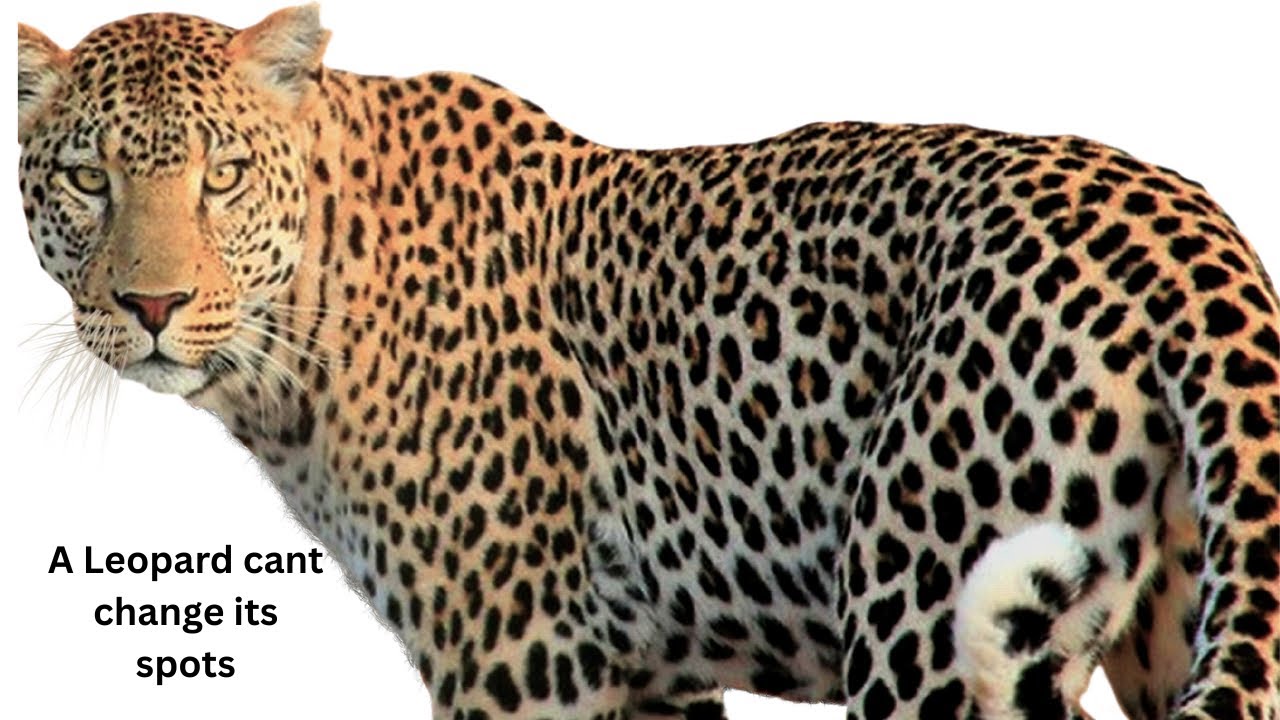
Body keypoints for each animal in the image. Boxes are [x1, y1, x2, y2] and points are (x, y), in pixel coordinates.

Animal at [15, 5, 1280, 719]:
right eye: (88, 179)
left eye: (221, 176)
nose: (153, 303)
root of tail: (1189, 232)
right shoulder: (653, 675)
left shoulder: (520, 658)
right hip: (1184, 621)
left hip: (923, 624)